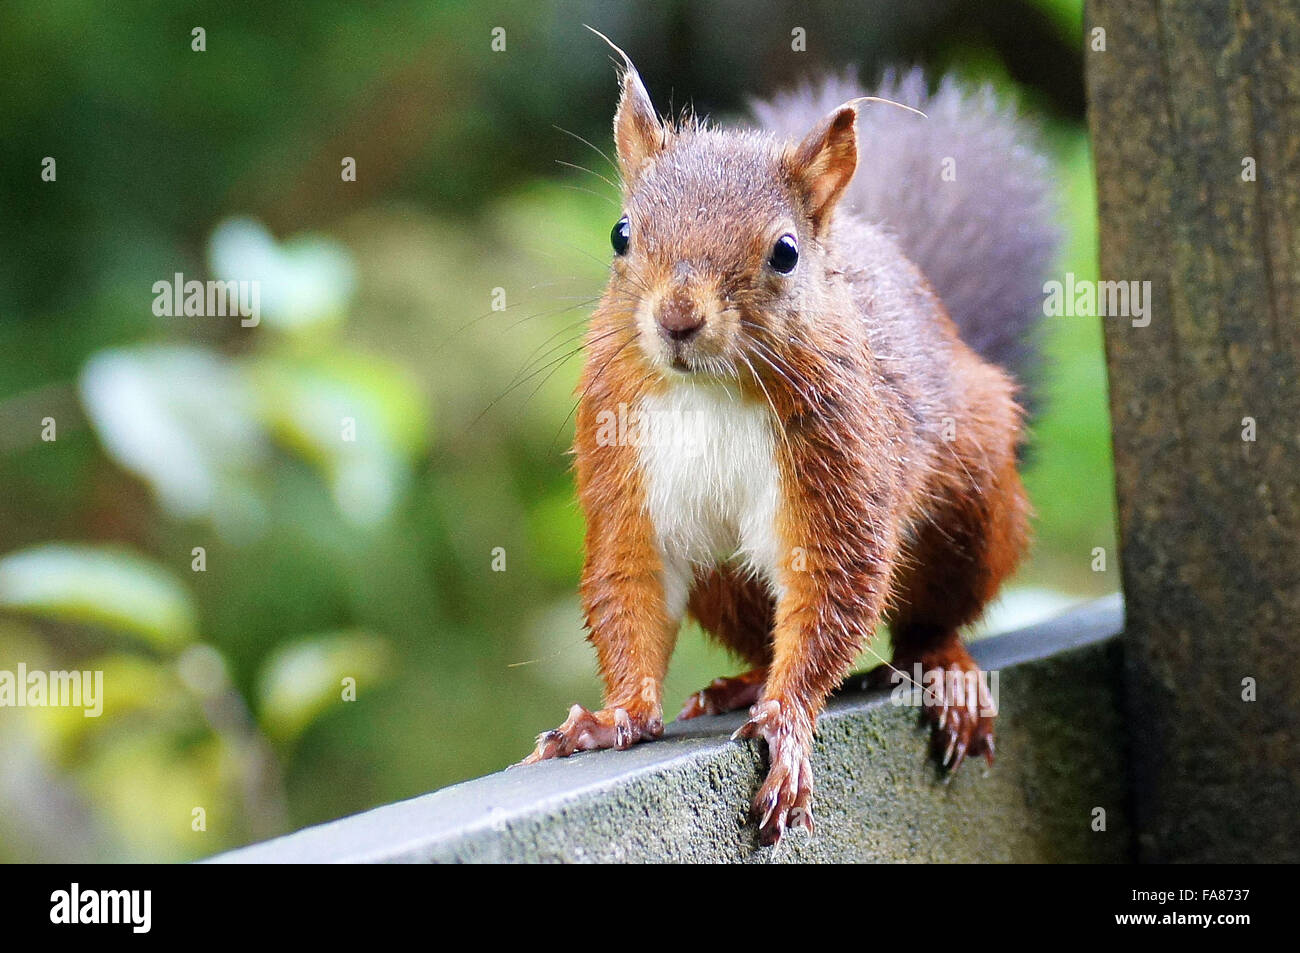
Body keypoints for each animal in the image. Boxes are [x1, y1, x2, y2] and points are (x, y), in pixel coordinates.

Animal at [524, 33, 1057, 847]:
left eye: (783, 251)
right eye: (620, 233)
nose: (677, 318)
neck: (710, 388)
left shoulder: (842, 461)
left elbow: (836, 586)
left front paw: (788, 725)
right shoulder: (625, 469)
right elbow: (630, 588)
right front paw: (617, 715)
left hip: (971, 504)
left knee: (931, 617)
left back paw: (942, 668)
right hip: (725, 583)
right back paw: (741, 683)